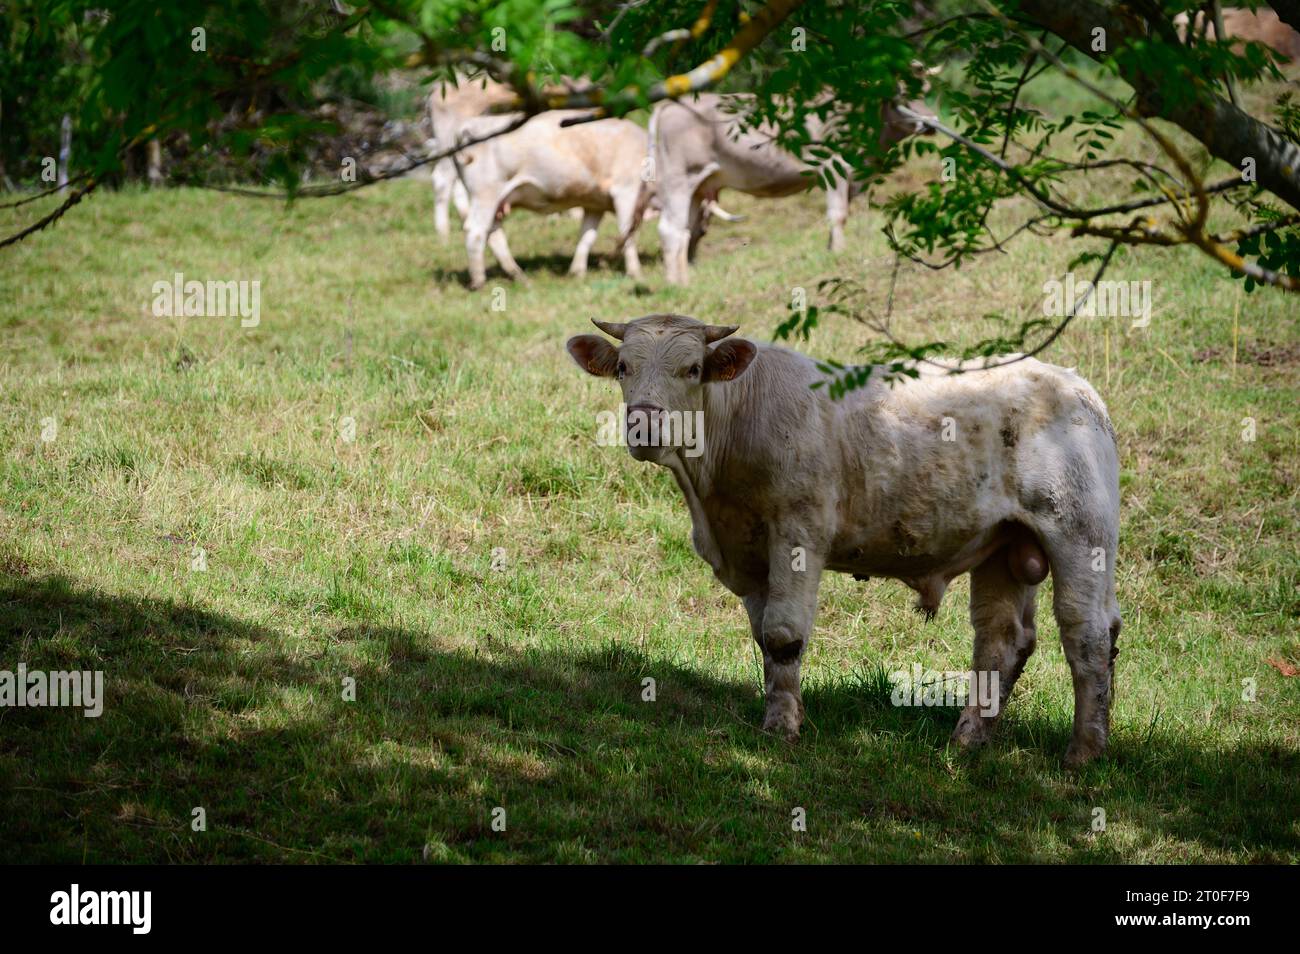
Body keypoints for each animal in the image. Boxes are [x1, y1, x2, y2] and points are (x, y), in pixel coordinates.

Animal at [452, 110, 652, 289]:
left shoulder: (595, 204)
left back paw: (521, 278)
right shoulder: (626, 191)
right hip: (485, 192)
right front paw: (637, 274)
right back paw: (478, 282)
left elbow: (587, 236)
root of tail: (467, 126)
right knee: (475, 230)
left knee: (494, 234)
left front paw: (577, 272)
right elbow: (629, 233)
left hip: (496, 201)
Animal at [566, 314, 1123, 767]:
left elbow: (783, 633)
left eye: (692, 370)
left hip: (1079, 534)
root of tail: (1077, 386)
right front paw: (781, 713)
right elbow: (765, 638)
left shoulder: (798, 531)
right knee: (1001, 640)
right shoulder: (746, 554)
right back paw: (968, 739)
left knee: (1088, 634)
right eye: (624, 368)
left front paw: (781, 730)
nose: (644, 425)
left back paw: (1084, 751)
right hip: (1005, 547)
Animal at [650, 68, 939, 285]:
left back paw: (686, 277)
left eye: (926, 92)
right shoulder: (833, 166)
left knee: (687, 230)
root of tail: (673, 104)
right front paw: (839, 253)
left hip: (698, 186)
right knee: (670, 230)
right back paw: (676, 285)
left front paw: (831, 249)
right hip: (678, 178)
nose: (932, 122)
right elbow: (838, 214)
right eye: (899, 95)